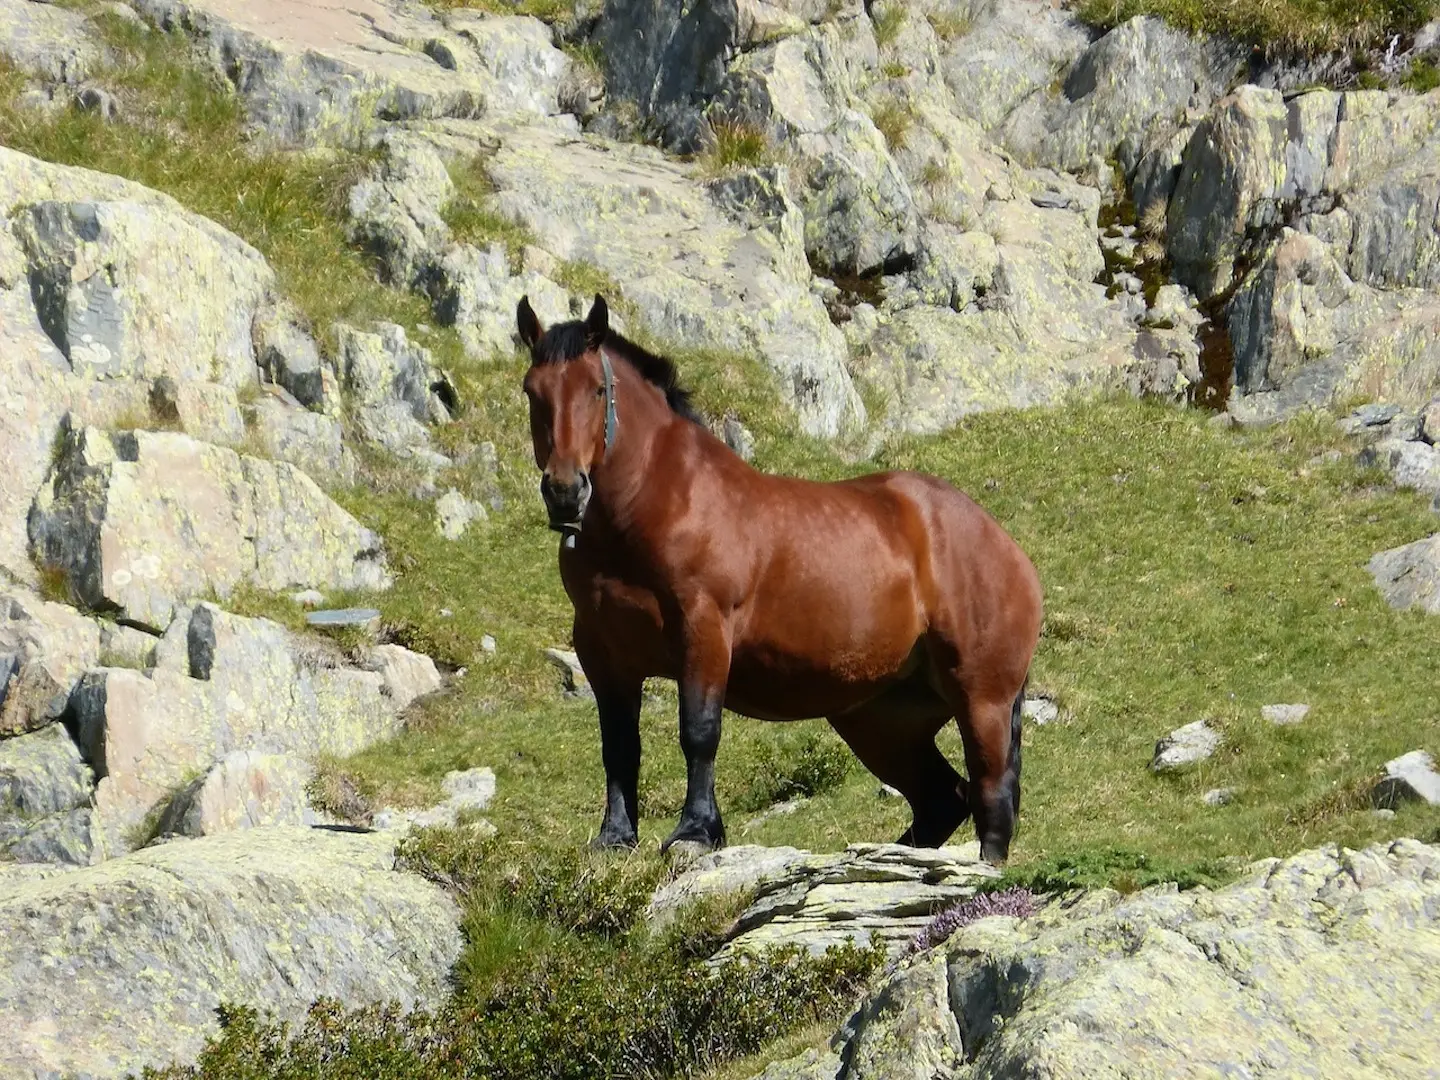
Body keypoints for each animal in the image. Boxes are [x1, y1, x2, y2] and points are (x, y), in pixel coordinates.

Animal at [517, 294, 1044, 865]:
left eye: (596, 388)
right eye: (533, 390)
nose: (565, 492)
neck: (658, 505)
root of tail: (1007, 548)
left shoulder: (703, 632)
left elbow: (699, 731)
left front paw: (696, 831)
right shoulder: (602, 651)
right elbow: (618, 745)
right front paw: (615, 837)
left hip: (982, 701)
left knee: (991, 800)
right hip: (881, 720)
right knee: (943, 800)